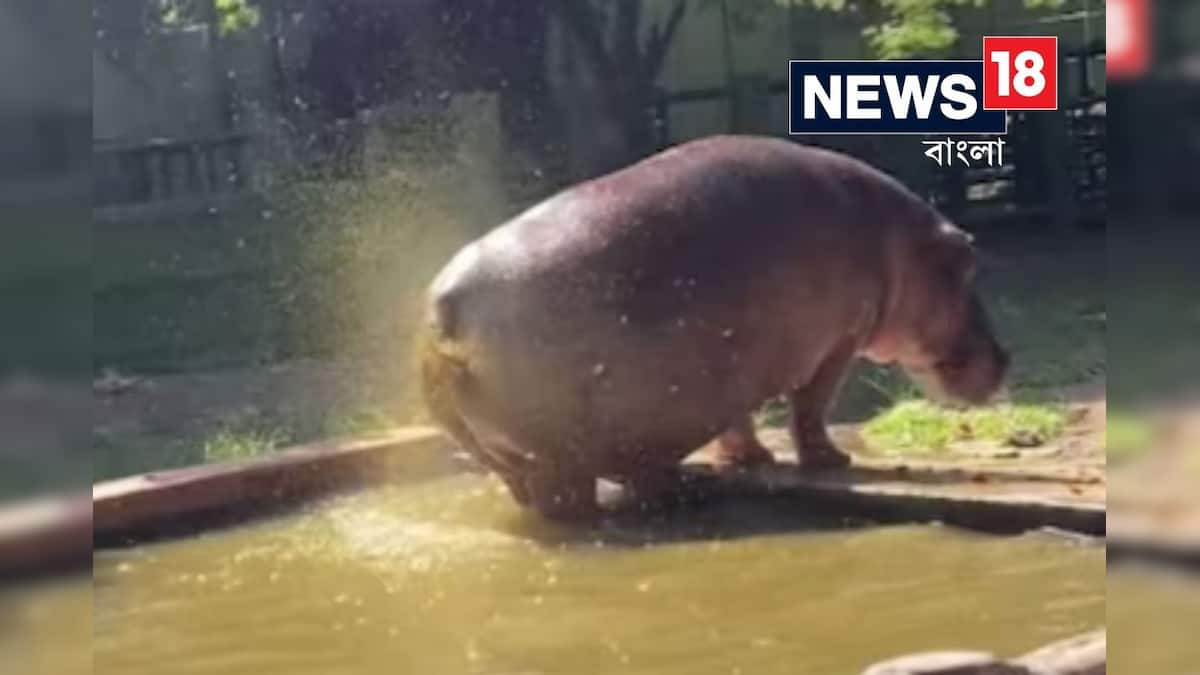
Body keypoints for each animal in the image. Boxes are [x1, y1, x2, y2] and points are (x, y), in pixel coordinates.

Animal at [419, 135, 1008, 519]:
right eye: (969, 265)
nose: (1006, 360)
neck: (899, 242)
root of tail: (444, 316)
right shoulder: (836, 344)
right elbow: (811, 407)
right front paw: (833, 460)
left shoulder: (736, 362)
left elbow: (740, 418)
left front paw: (750, 459)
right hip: (558, 460)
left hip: (513, 458)